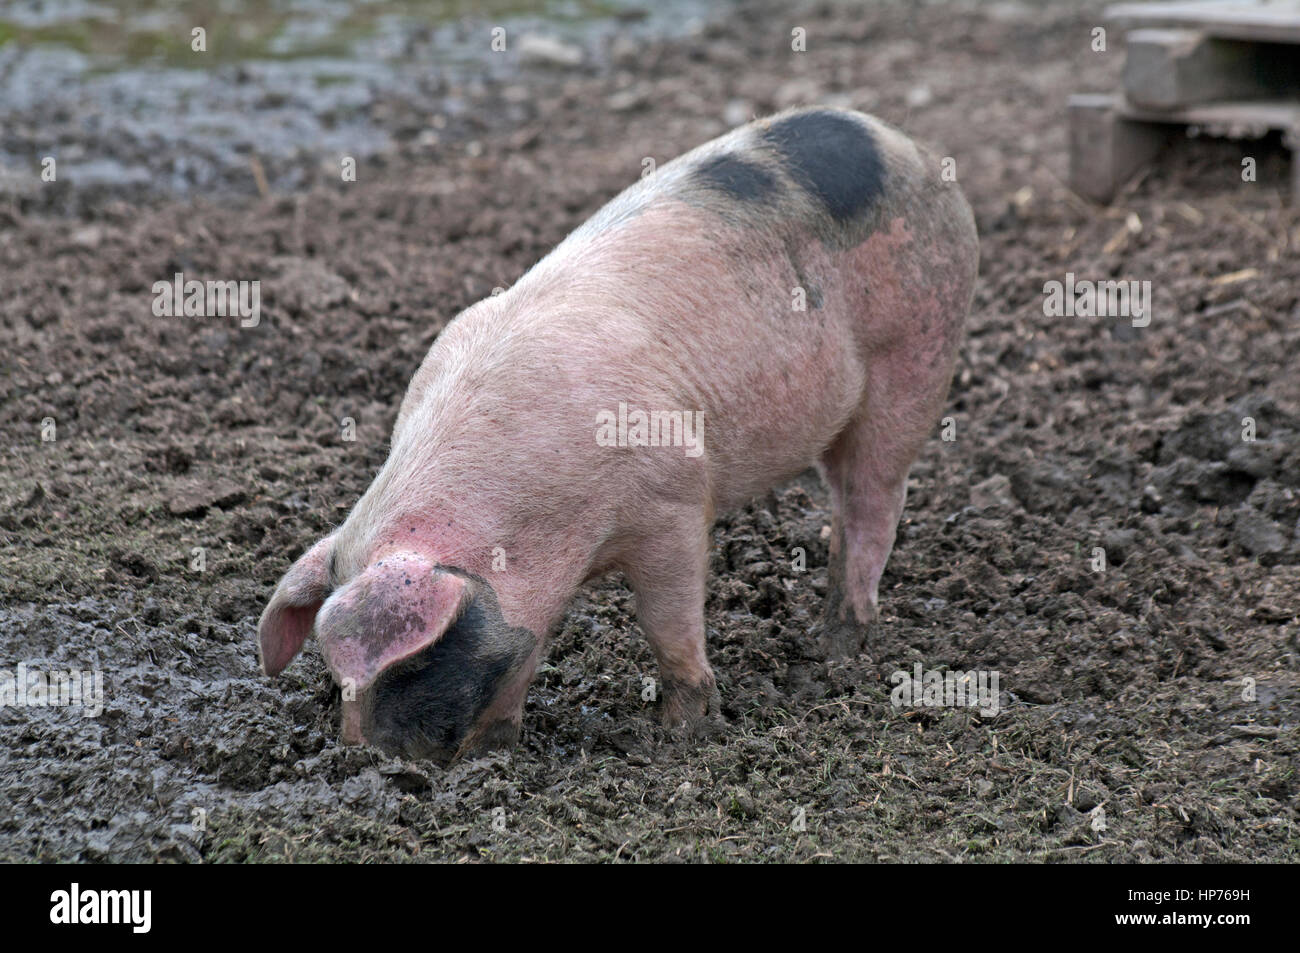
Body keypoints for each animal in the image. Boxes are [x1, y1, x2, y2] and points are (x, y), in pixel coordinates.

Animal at [258, 107, 979, 762]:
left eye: (410, 664)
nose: (368, 760)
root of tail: (911, 147)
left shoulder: (675, 500)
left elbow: (667, 623)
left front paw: (682, 734)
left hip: (915, 355)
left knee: (874, 500)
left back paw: (836, 653)